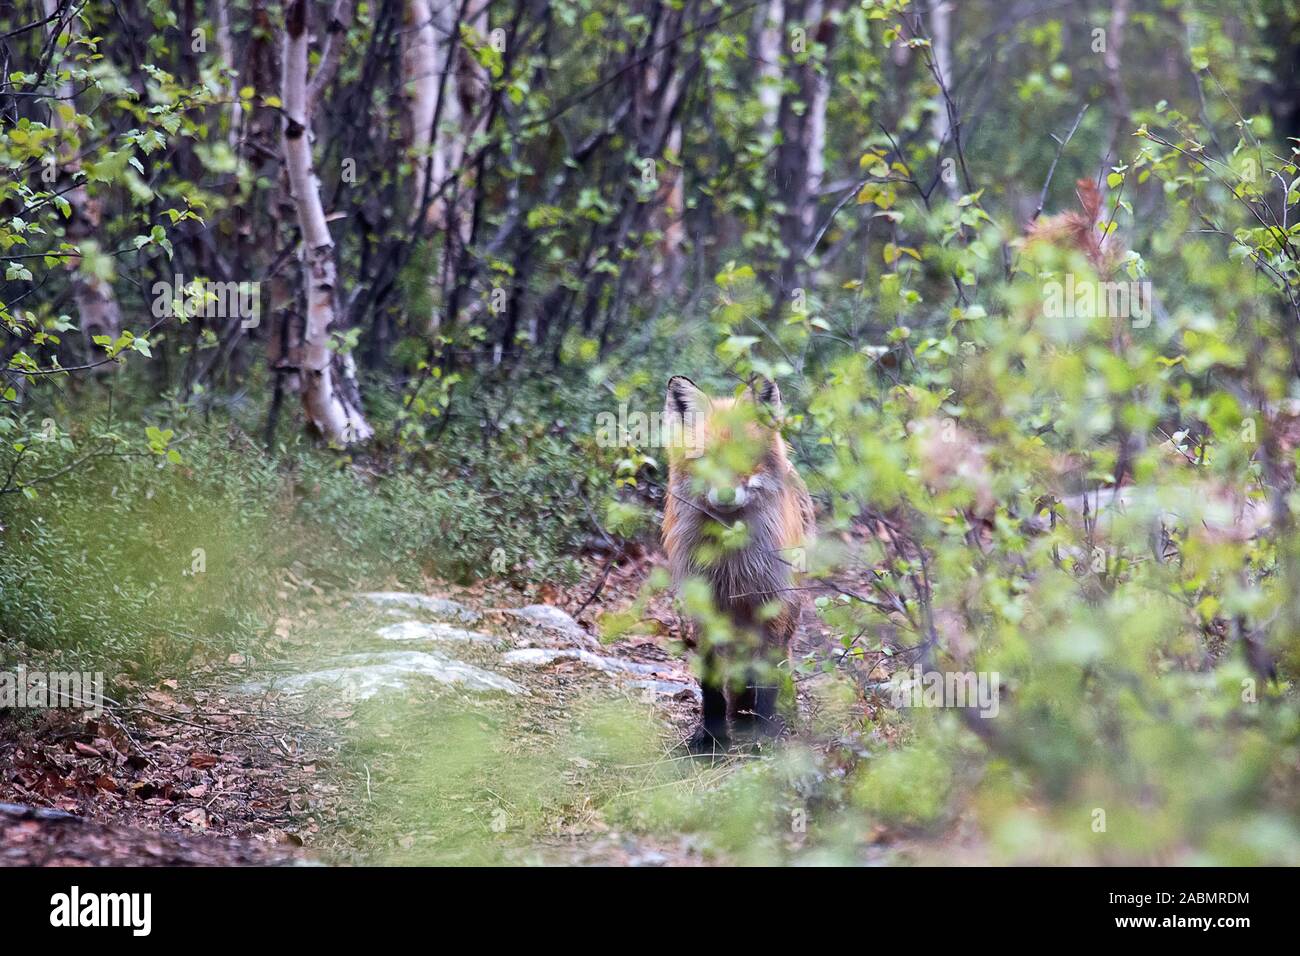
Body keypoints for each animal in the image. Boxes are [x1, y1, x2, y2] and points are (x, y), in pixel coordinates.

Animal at [661, 375, 816, 754]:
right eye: (705, 459)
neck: (732, 564)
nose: (727, 494)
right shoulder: (705, 606)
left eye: (745, 457)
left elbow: (768, 681)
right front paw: (712, 738)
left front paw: (765, 737)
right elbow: (712, 683)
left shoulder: (773, 603)